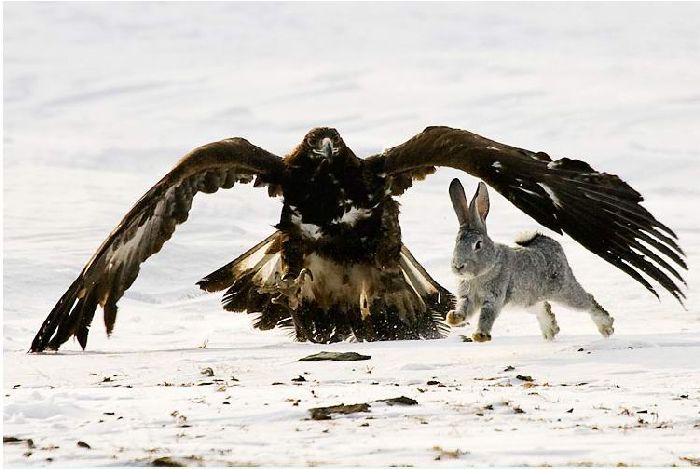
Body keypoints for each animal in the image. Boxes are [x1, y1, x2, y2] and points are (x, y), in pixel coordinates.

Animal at [445, 178, 614, 342]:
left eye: (478, 244)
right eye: (456, 241)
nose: (458, 266)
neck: (481, 273)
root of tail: (546, 241)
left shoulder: (494, 298)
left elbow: (487, 316)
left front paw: (480, 336)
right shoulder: (467, 297)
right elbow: (464, 308)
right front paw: (453, 318)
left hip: (563, 291)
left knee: (588, 301)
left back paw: (606, 327)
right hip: (527, 301)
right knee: (543, 307)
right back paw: (551, 330)